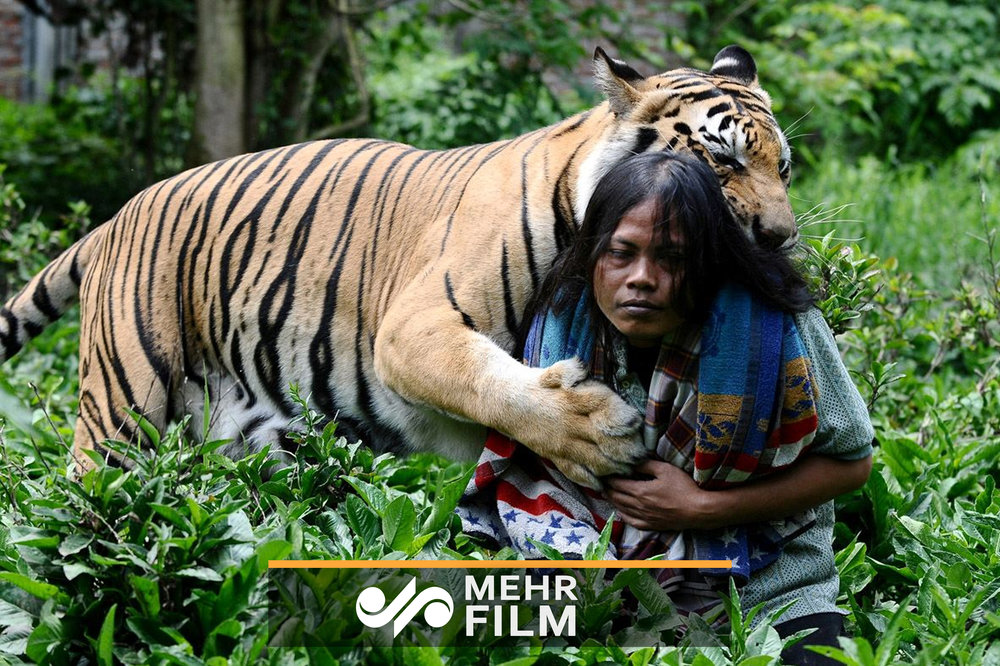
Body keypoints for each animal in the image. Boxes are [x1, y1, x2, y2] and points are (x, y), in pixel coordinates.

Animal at [0, 45, 796, 489]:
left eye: (783, 167)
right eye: (721, 159)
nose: (781, 236)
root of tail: (118, 216)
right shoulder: (413, 327)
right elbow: (489, 381)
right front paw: (589, 432)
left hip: (254, 442)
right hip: (121, 414)